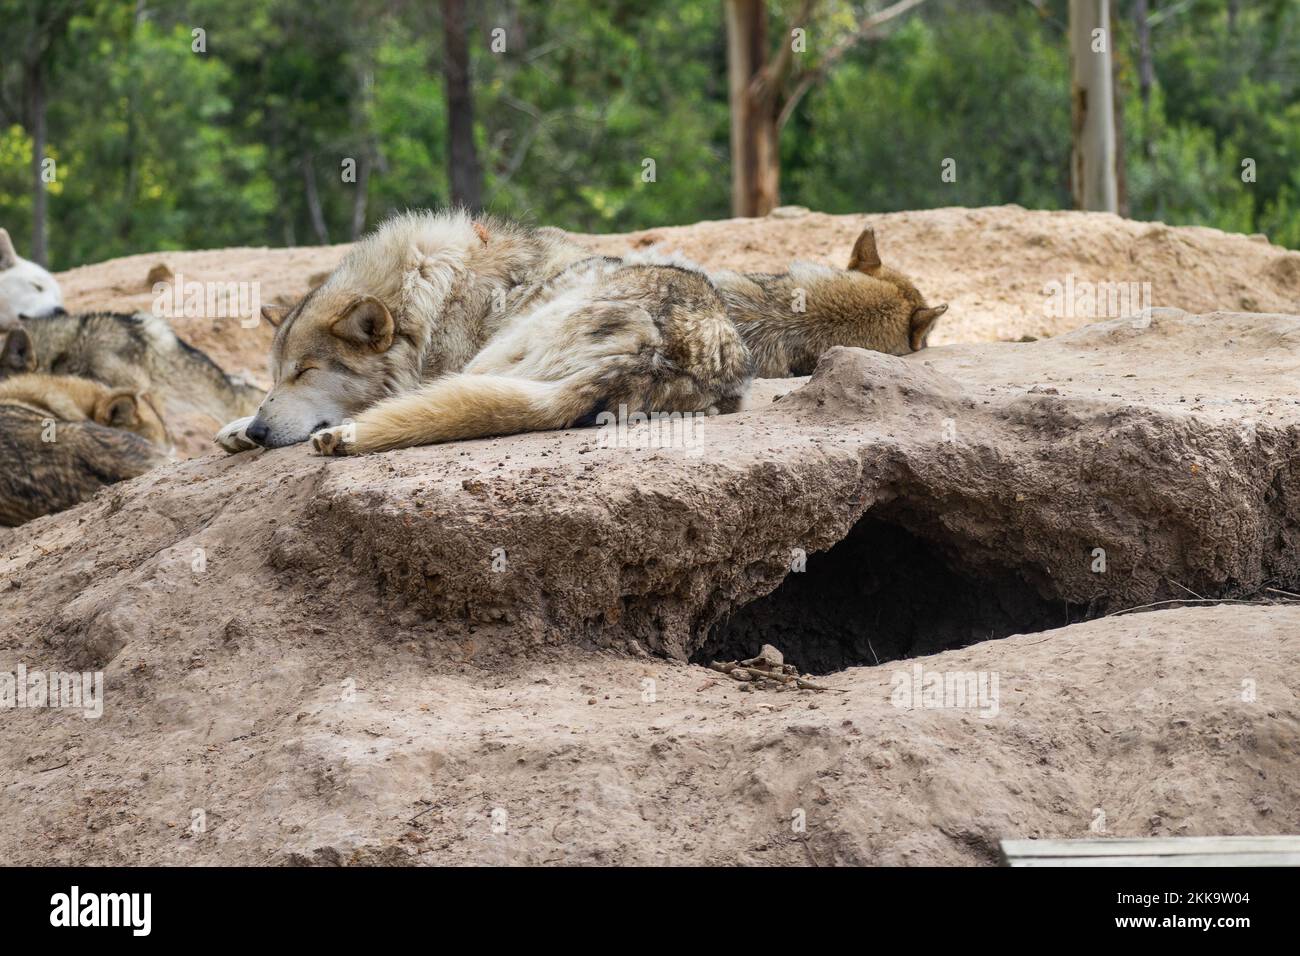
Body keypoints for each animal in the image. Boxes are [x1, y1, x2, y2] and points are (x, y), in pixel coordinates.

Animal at [216, 211, 751, 455]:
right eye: (275, 375)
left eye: (304, 372)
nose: (261, 432)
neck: (428, 296)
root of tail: (652, 357)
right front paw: (241, 428)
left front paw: (242, 428)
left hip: (494, 355)